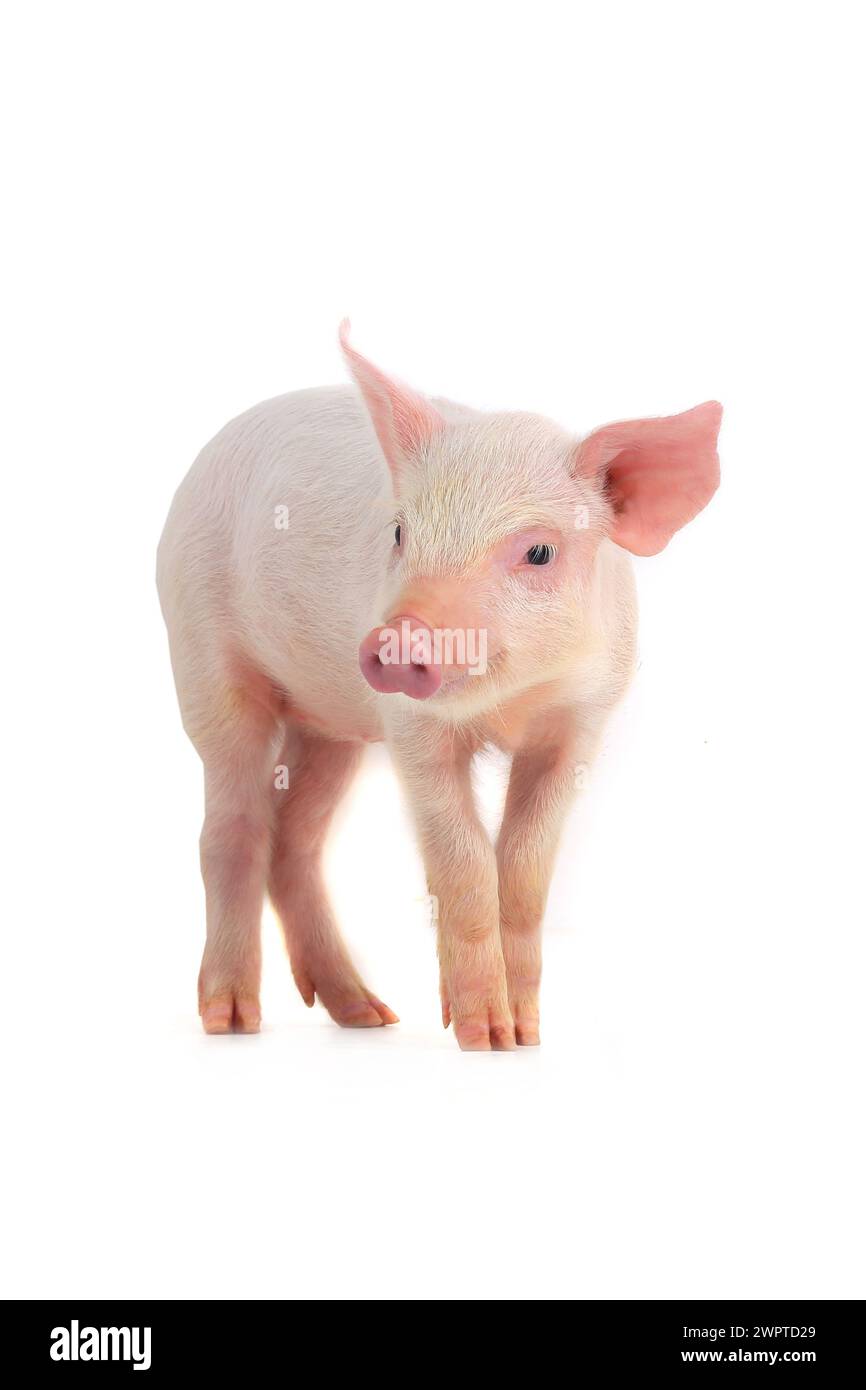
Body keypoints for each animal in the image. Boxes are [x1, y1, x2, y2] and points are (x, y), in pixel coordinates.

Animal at [157, 323, 721, 1050]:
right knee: (230, 827)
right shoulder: (412, 730)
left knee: (295, 841)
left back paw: (369, 1016)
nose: (399, 637)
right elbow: (466, 864)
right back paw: (232, 1022)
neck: (508, 704)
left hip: (329, 725)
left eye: (539, 552)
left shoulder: (582, 723)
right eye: (401, 533)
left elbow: (525, 872)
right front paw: (484, 1036)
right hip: (200, 650)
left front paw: (525, 1035)